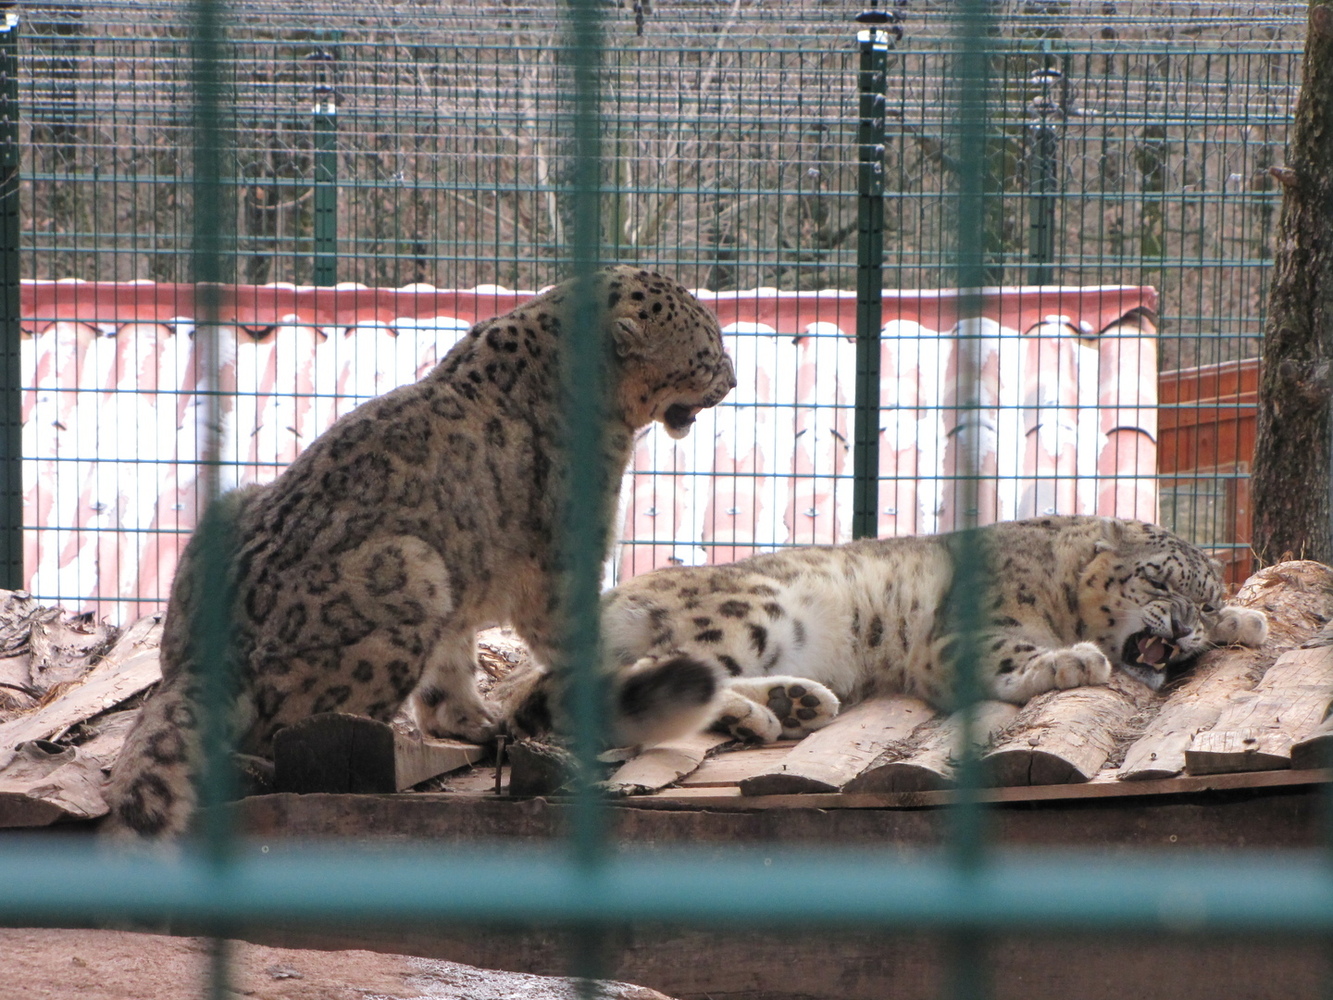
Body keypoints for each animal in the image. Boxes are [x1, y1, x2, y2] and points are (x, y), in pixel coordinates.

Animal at [103, 265, 736, 838]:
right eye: (708, 351)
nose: (731, 382)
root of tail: (193, 656)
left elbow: (455, 666)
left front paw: (478, 716)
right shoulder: (564, 565)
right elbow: (583, 641)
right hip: (411, 572)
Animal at [500, 515, 1269, 748]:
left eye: (1201, 602)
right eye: (1158, 583)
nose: (1181, 627)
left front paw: (1248, 617)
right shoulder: (968, 632)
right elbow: (1013, 649)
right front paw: (1069, 660)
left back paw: (792, 703)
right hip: (747, 614)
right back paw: (757, 712)